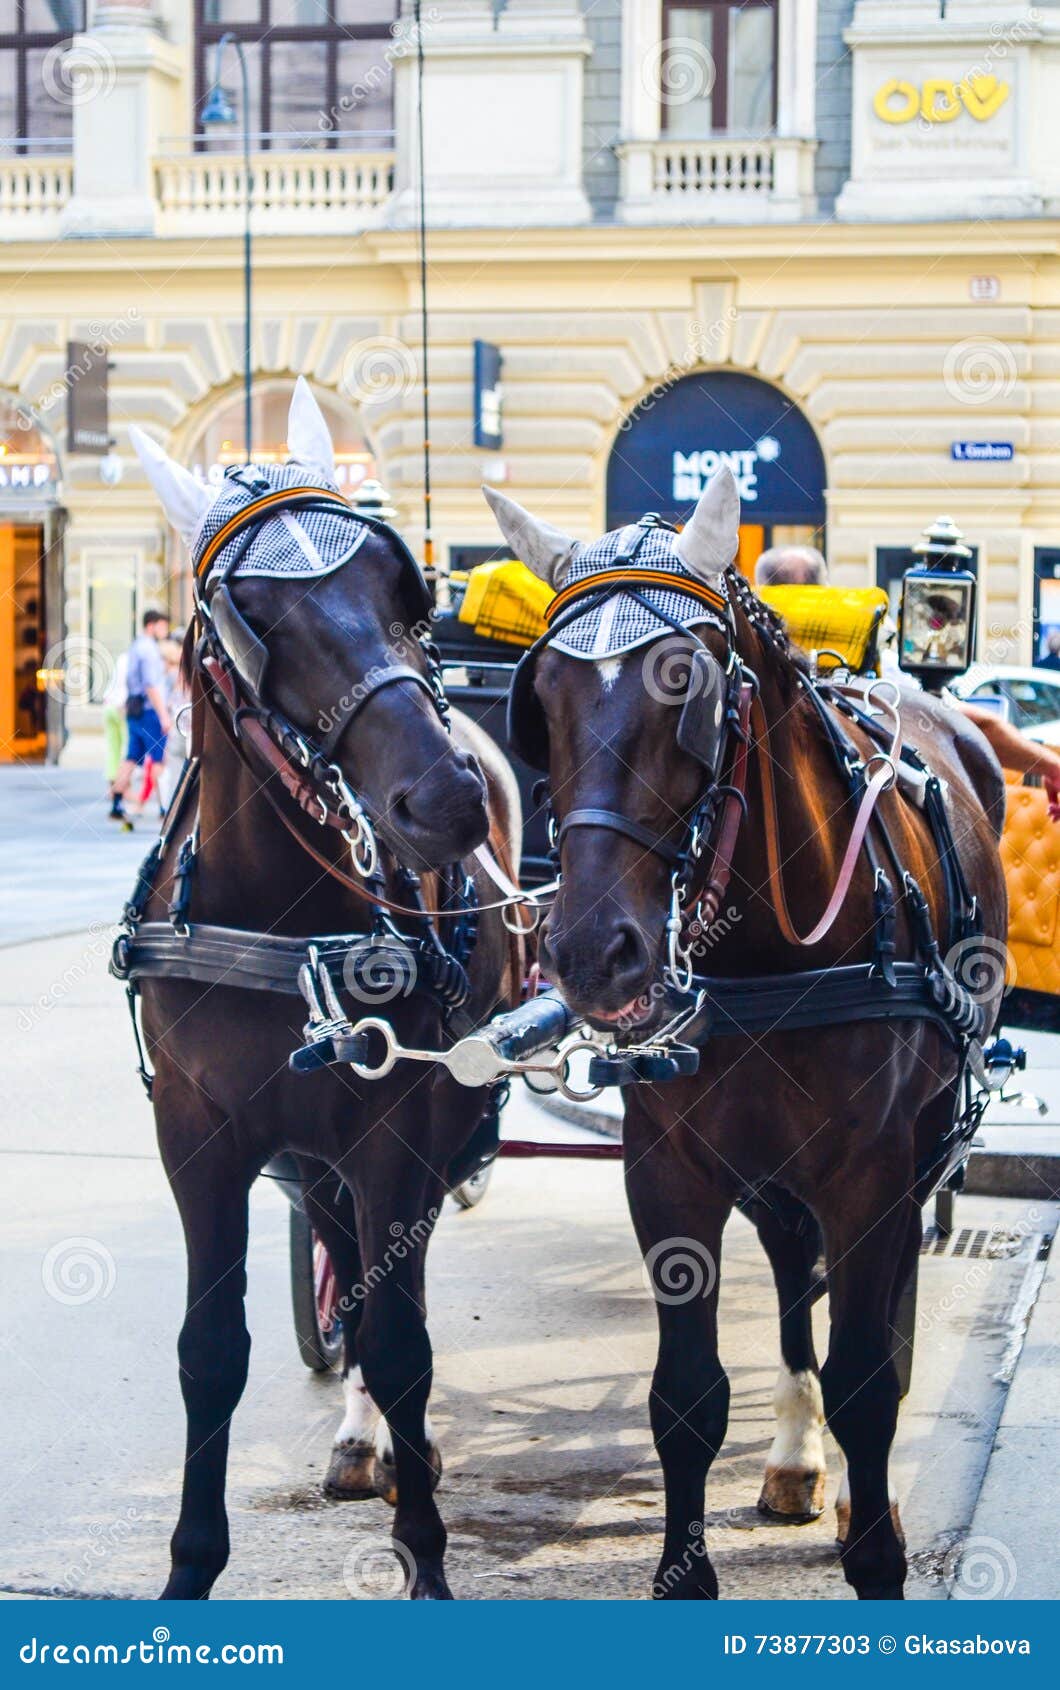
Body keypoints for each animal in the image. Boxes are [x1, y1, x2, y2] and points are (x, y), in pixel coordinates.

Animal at [120, 380, 522, 1600]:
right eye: (253, 618)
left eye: (401, 588)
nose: (447, 799)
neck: (281, 921)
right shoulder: (196, 1133)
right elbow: (212, 1352)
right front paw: (191, 1567)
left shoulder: (396, 1123)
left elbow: (401, 1342)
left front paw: (427, 1558)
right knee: (350, 1263)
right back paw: (363, 1439)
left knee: (404, 1286)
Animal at [483, 467, 1007, 1600]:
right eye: (540, 702)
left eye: (685, 685)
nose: (590, 951)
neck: (767, 953)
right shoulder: (668, 1167)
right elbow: (687, 1393)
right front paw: (687, 1570)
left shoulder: (870, 1170)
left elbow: (870, 1377)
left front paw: (876, 1548)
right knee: (792, 1266)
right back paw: (799, 1457)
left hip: (917, 1143)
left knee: (876, 1317)